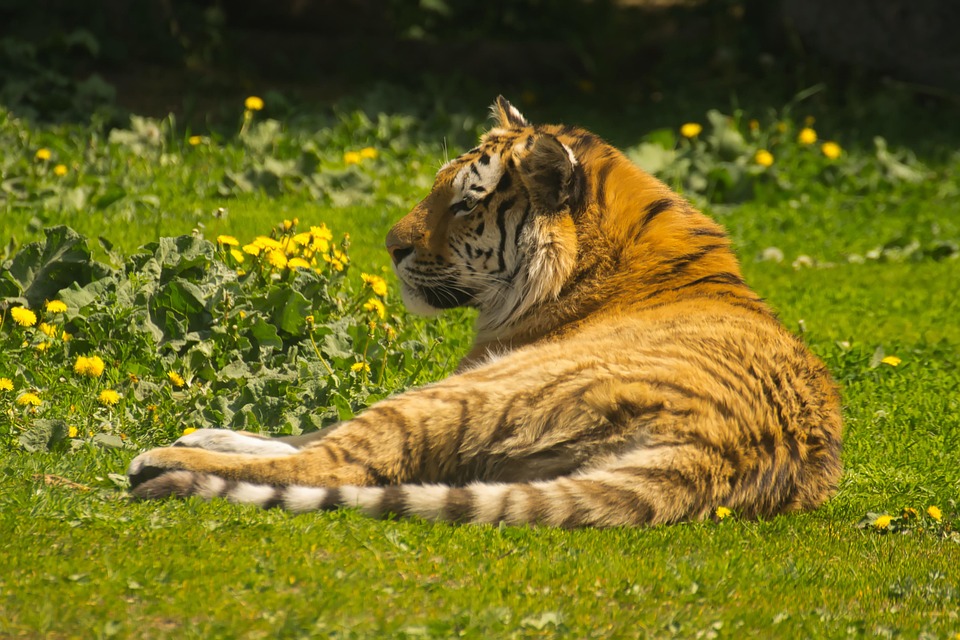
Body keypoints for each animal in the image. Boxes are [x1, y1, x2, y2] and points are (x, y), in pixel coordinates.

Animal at [127, 96, 843, 528]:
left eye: (467, 202)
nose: (390, 247)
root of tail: (721, 453)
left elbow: (320, 438)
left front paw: (188, 445)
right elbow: (309, 427)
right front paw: (205, 432)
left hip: (475, 388)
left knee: (341, 463)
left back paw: (157, 464)